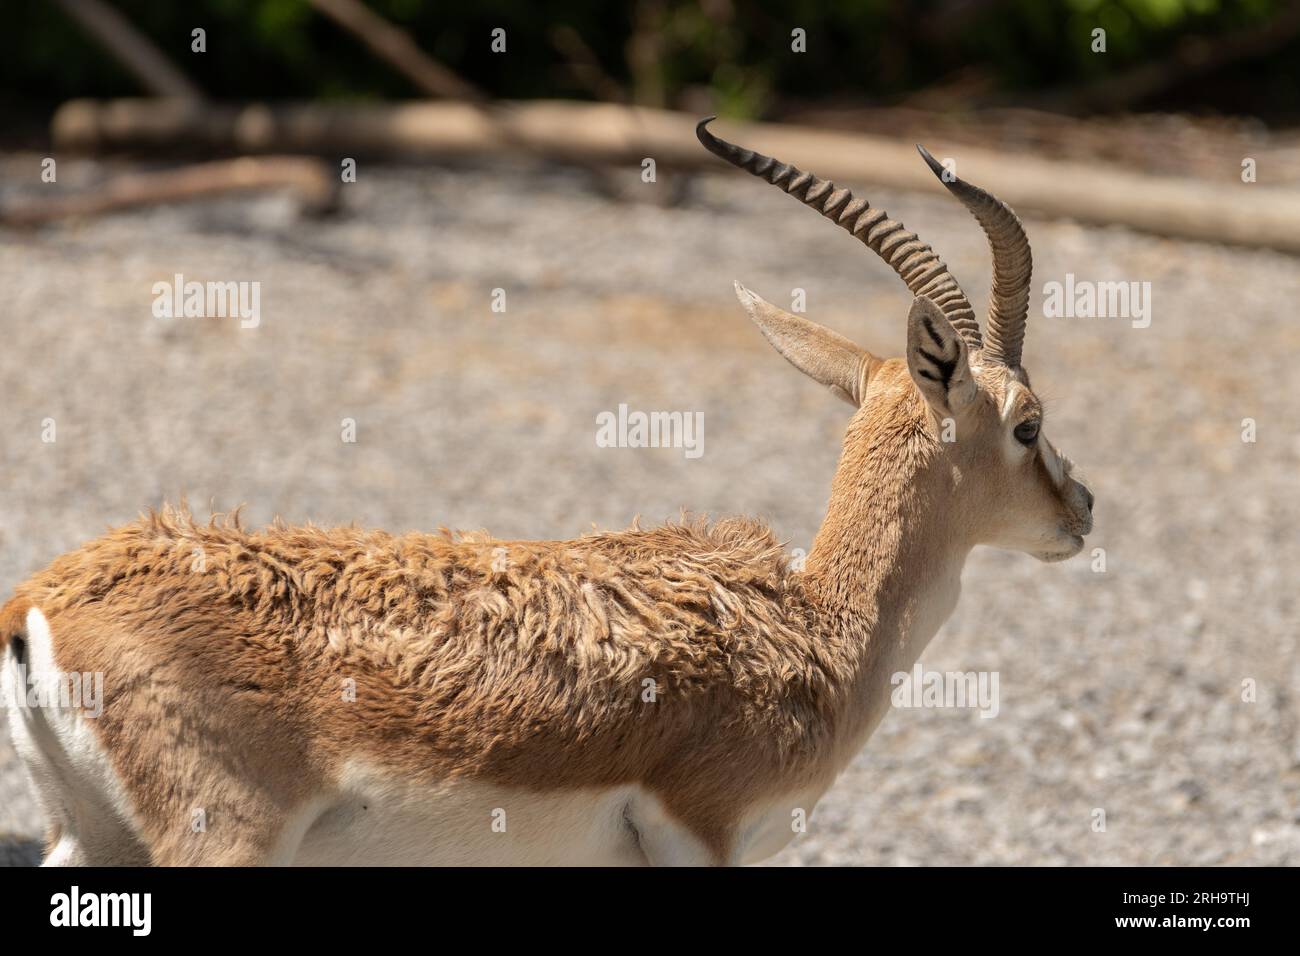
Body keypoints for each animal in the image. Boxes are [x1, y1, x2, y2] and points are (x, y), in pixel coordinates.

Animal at [0, 118, 1093, 867]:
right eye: (1027, 421)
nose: (1081, 511)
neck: (820, 627)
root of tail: (41, 600)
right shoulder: (701, 838)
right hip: (220, 840)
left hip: (92, 838)